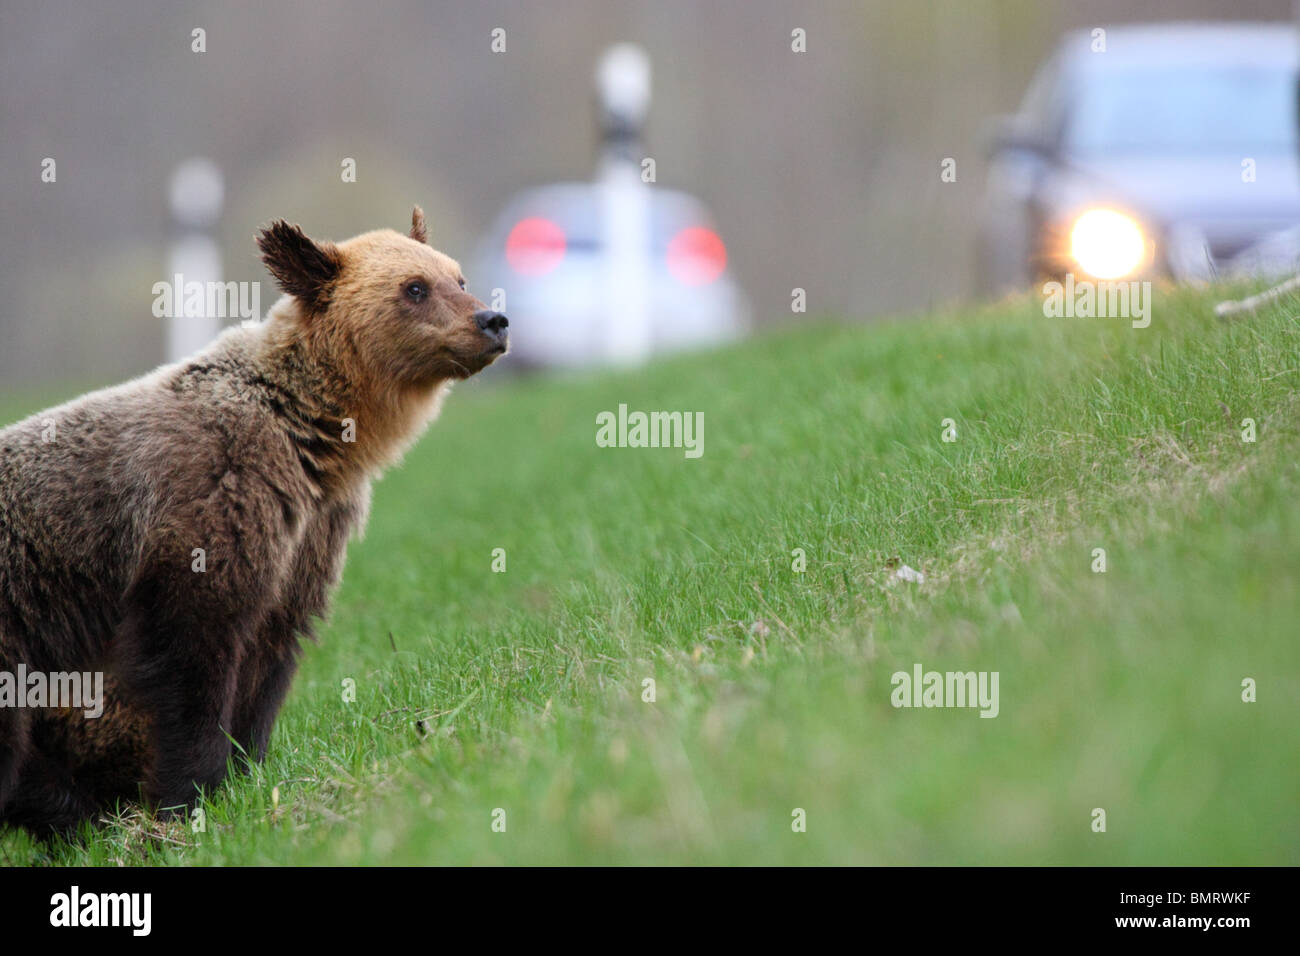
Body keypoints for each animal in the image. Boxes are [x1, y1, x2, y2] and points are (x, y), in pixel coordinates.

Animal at [0, 207, 507, 833]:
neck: (311, 440)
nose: (494, 320)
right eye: (414, 288)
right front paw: (188, 798)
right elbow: (190, 664)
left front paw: (248, 778)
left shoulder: (306, 537)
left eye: (457, 277)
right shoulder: (204, 513)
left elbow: (268, 660)